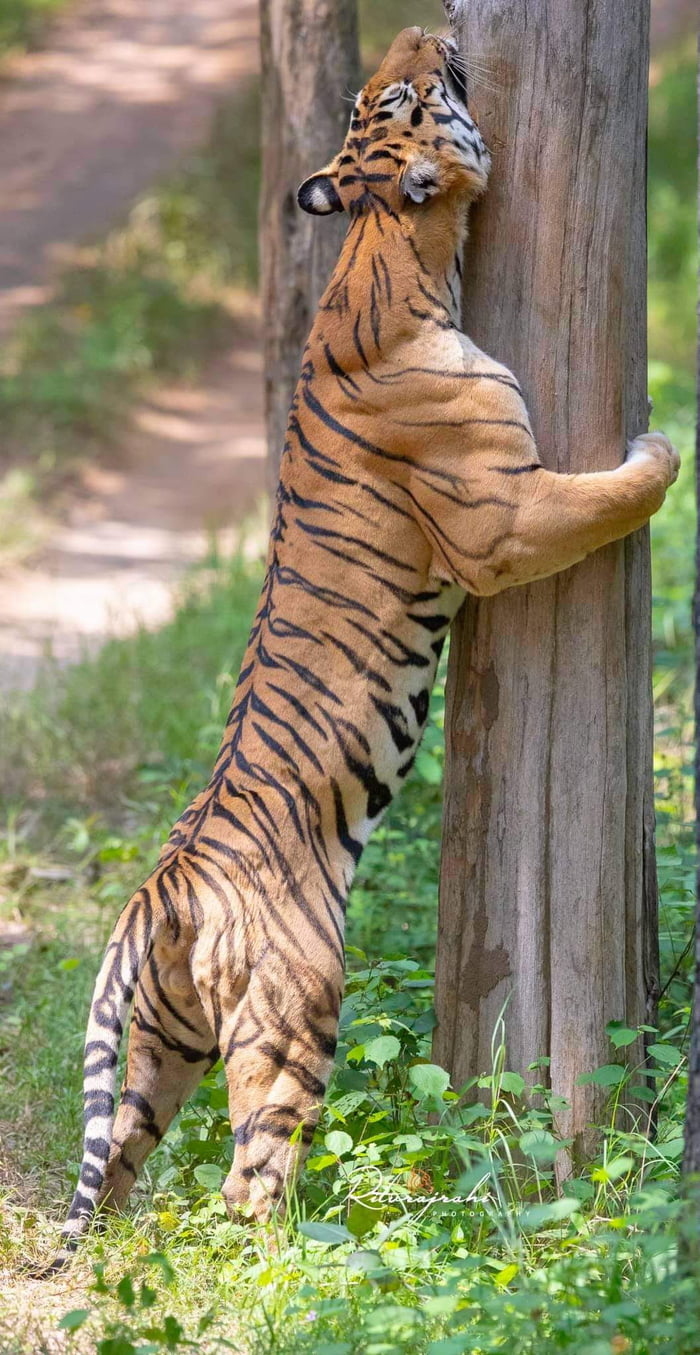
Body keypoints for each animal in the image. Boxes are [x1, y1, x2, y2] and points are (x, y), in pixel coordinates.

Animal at [41, 24, 678, 1273]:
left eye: (372, 96)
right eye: (404, 96)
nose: (434, 31)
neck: (389, 239)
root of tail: (156, 891)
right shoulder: (502, 516)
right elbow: (610, 493)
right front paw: (665, 445)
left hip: (160, 1051)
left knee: (128, 1166)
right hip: (293, 1011)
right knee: (252, 1179)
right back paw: (317, 1266)